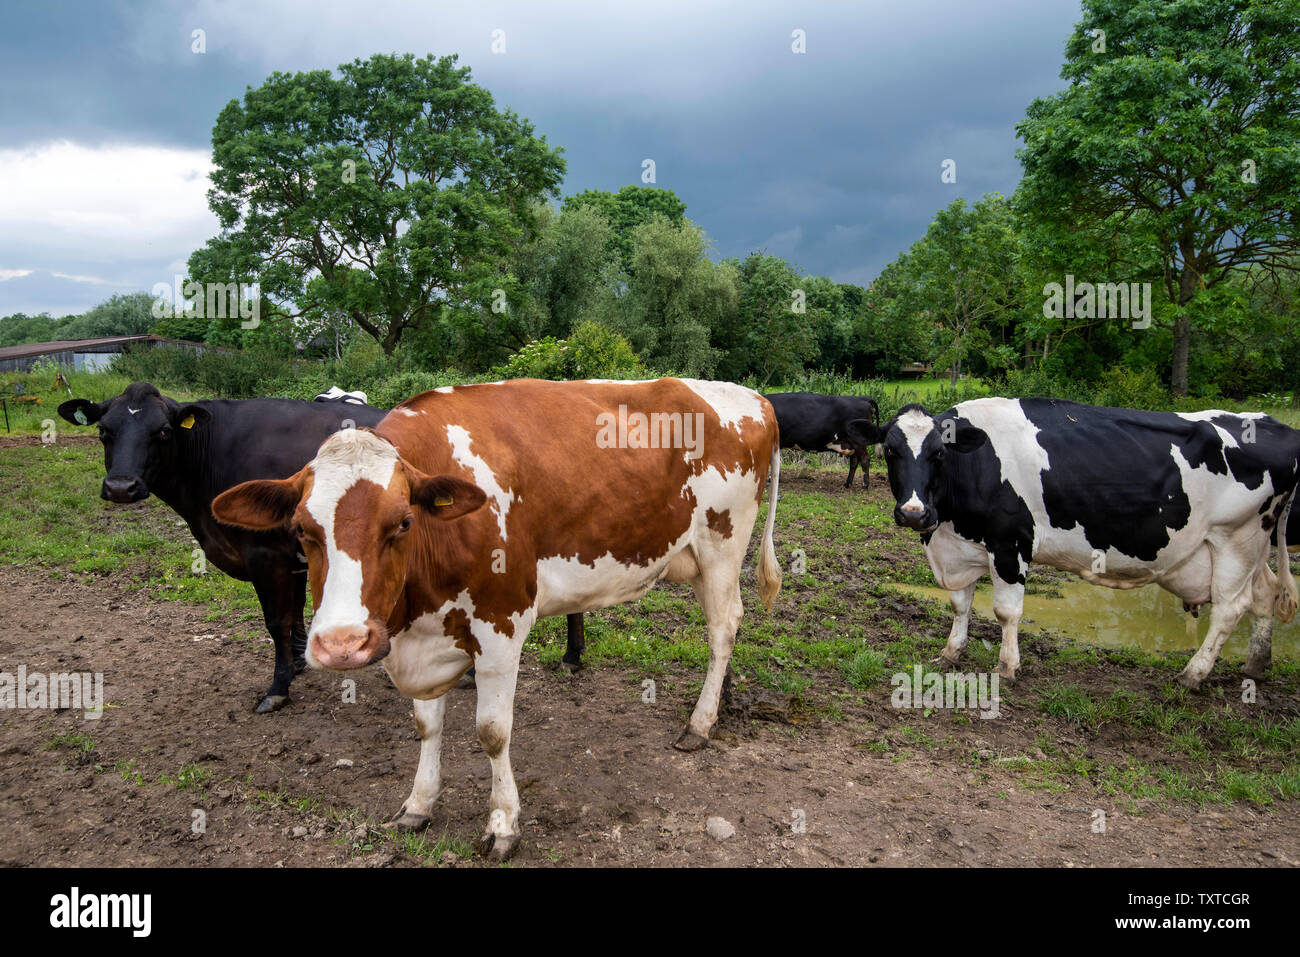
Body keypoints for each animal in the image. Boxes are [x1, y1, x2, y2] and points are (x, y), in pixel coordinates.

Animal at [58, 381, 388, 713]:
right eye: (103, 430)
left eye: (163, 431)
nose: (120, 487)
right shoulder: (293, 553)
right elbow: (295, 608)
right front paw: (298, 661)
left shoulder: (265, 553)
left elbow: (276, 621)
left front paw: (278, 687)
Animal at [211, 377, 782, 859]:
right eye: (302, 530)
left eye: (402, 523)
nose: (341, 644)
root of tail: (754, 397)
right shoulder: (422, 633)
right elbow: (425, 725)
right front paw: (418, 805)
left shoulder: (502, 624)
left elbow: (492, 732)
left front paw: (503, 823)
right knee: (724, 628)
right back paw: (723, 698)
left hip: (723, 545)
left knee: (723, 626)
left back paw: (701, 722)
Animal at [848, 398, 1299, 690]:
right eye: (890, 450)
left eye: (940, 453)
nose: (913, 512)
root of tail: (1275, 425)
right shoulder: (958, 547)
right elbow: (960, 604)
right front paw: (951, 652)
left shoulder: (1011, 542)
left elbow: (1006, 611)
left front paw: (1007, 666)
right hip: (1249, 547)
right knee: (1264, 595)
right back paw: (1255, 664)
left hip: (1236, 538)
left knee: (1229, 609)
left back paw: (1193, 674)